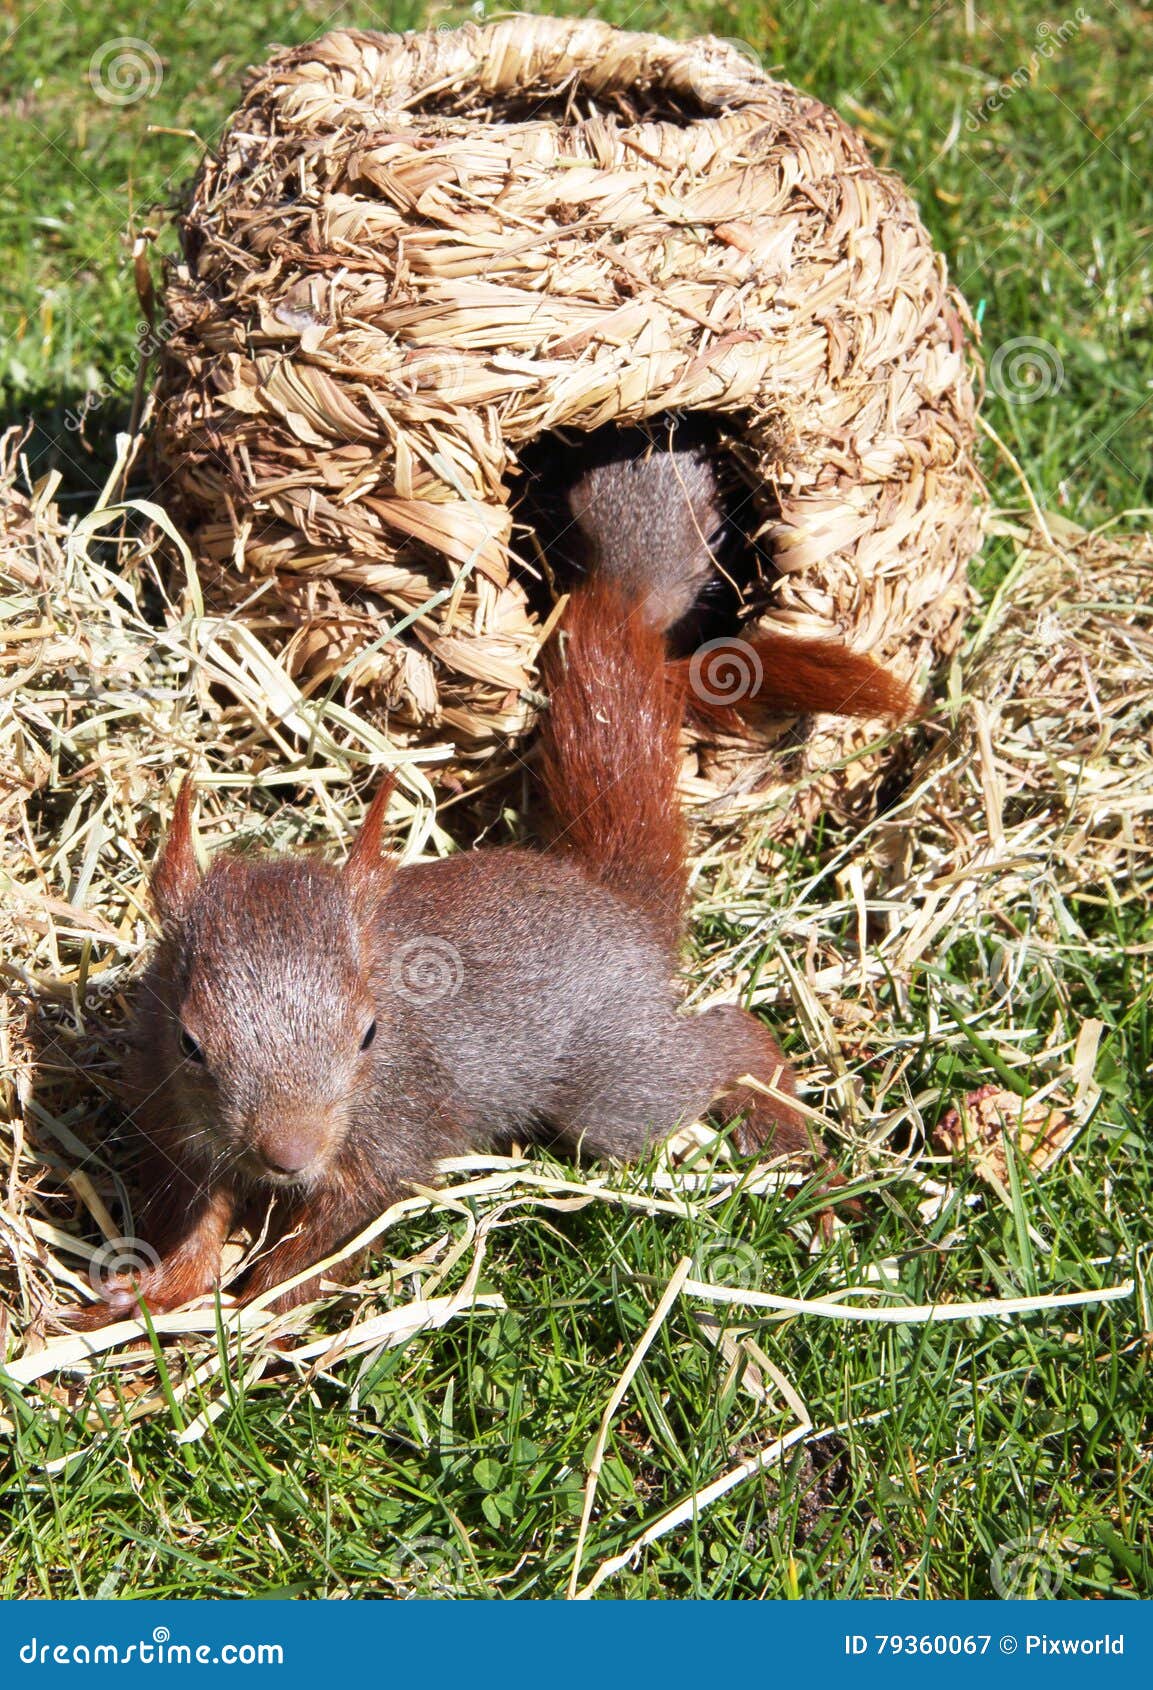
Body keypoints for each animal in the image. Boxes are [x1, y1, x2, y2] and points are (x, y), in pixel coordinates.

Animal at [67, 430, 916, 1327]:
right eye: (190, 1042)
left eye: (368, 1033)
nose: (287, 1153)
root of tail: (613, 901)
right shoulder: (174, 1120)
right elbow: (194, 1225)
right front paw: (144, 1297)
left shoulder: (398, 1128)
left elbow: (334, 1235)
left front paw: (265, 1310)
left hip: (613, 1089)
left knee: (726, 1043)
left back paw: (800, 1150)